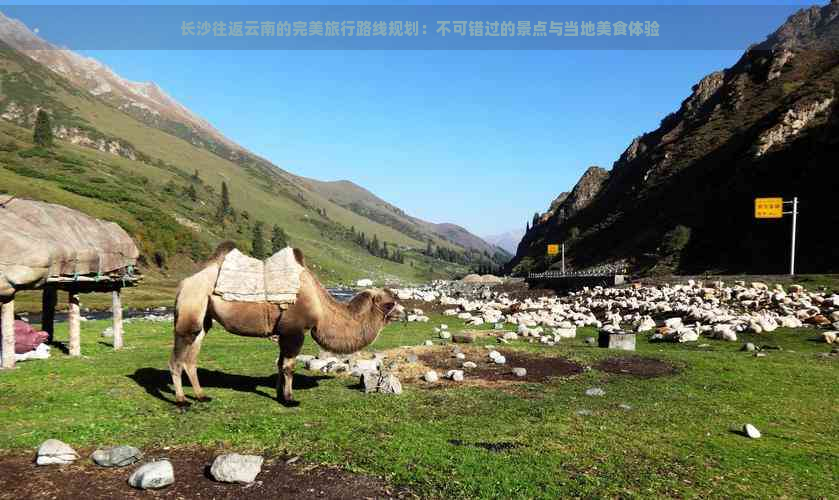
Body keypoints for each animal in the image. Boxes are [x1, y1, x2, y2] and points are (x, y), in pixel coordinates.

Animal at [169, 241, 406, 406]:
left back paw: (201, 396)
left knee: (192, 355)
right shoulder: (295, 331)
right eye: (389, 303)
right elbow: (289, 366)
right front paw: (290, 399)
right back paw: (181, 400)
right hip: (192, 303)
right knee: (177, 357)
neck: (321, 307)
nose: (404, 313)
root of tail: (184, 283)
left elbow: (280, 364)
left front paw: (279, 394)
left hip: (204, 317)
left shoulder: (283, 332)